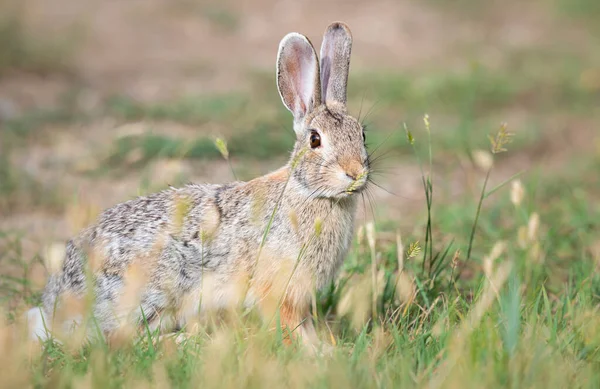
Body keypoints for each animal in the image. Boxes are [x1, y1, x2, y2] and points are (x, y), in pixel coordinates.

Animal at [29, 22, 370, 348]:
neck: (310, 193)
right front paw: (314, 351)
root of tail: (57, 305)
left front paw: (326, 347)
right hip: (153, 292)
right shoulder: (277, 290)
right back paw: (183, 340)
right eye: (315, 140)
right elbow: (287, 325)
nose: (355, 173)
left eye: (362, 134)